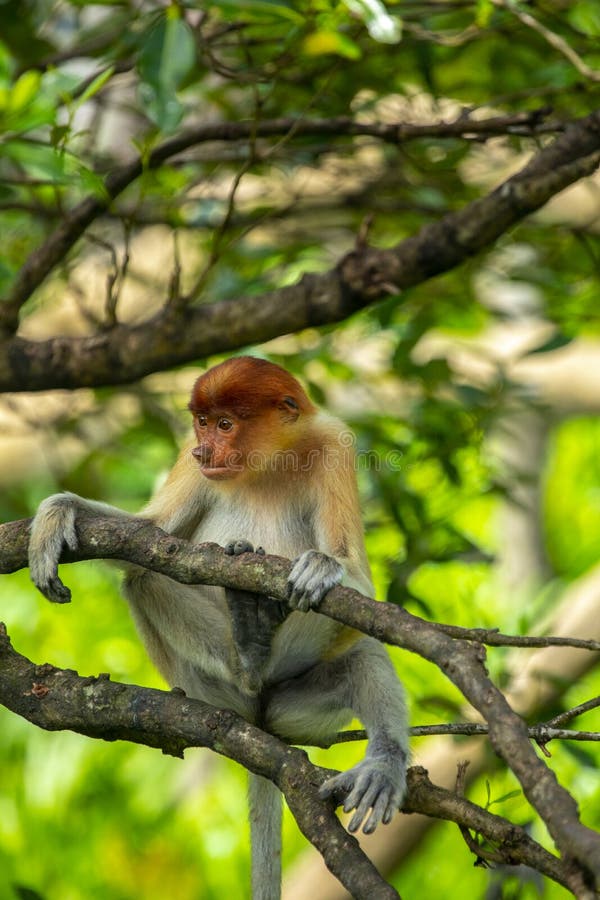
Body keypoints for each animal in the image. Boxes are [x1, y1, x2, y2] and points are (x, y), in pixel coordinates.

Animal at [28, 356, 409, 900]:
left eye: (227, 424)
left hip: (301, 708)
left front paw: (321, 566)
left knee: (363, 653)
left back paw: (380, 761)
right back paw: (247, 655)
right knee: (144, 576)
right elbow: (148, 534)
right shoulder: (192, 468)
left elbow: (358, 579)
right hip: (208, 687)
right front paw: (57, 515)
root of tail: (260, 718)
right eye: (203, 423)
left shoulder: (335, 447)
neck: (267, 464)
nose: (203, 449)